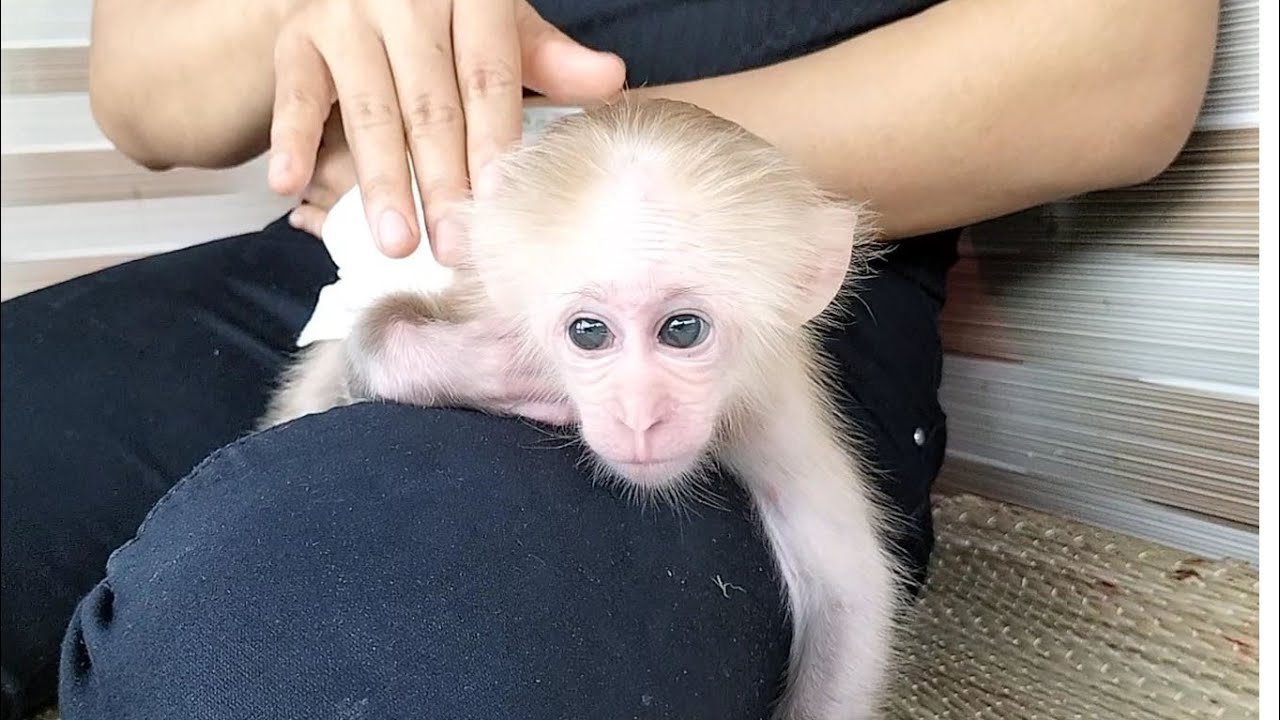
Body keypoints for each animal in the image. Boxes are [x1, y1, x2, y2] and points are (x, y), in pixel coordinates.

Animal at [260, 96, 905, 720]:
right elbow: (367, 345)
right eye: (589, 334)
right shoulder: (474, 295)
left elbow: (849, 586)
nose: (639, 416)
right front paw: (503, 371)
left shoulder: (770, 394)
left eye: (683, 330)